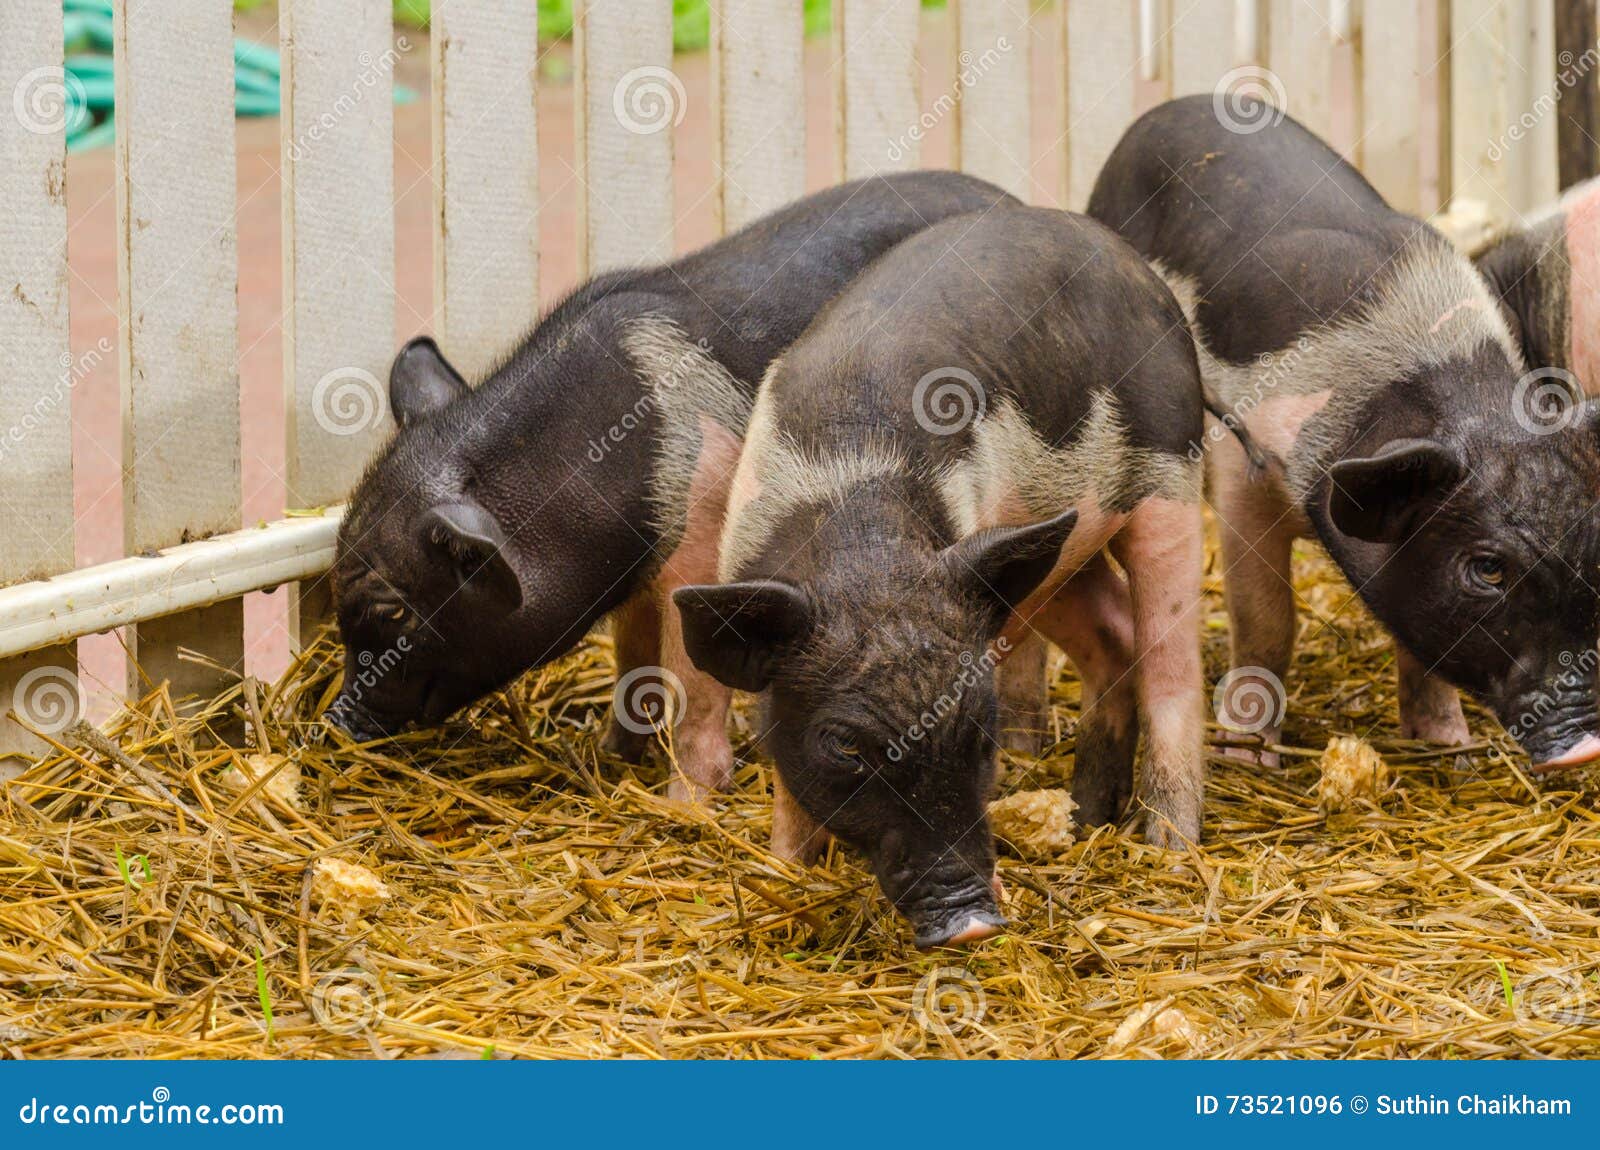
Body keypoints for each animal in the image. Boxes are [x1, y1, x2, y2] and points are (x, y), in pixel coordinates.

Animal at [325, 172, 1016, 803]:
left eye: (394, 609)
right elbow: (633, 659)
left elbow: (694, 688)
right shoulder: (639, 579)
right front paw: (615, 752)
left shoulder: (704, 550)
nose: (335, 721)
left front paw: (686, 803)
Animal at [672, 205, 1207, 947]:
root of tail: (1134, 263)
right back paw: (1086, 818)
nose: (973, 922)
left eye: (981, 730)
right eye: (844, 745)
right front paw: (789, 868)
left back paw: (1166, 842)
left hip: (1172, 472)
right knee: (1113, 635)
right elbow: (790, 792)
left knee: (1172, 659)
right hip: (1053, 553)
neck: (863, 541)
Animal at [1089, 96, 1600, 773]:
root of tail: (1171, 108)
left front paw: (1449, 745)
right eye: (1487, 569)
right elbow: (1267, 618)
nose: (1589, 746)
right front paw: (1248, 756)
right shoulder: (1242, 462)